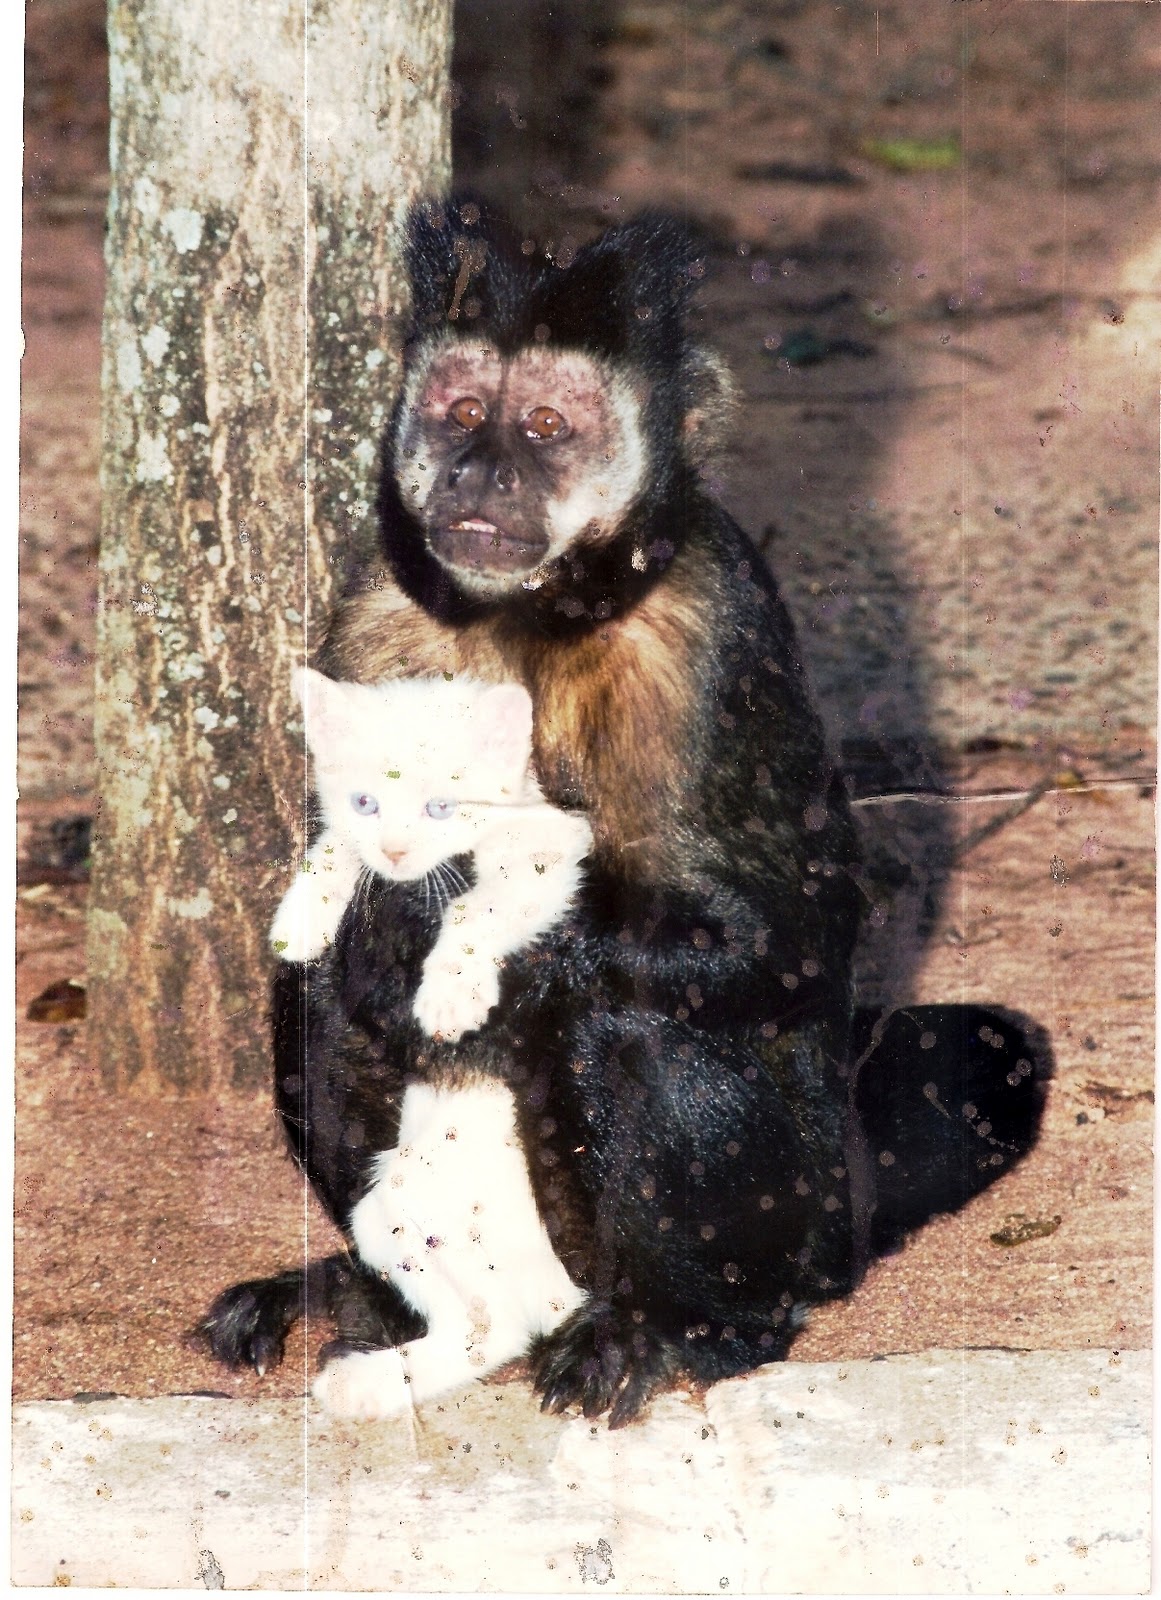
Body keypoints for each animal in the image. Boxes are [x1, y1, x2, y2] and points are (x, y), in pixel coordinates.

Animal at [197, 201, 1046, 1426]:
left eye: (546, 425)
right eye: (463, 411)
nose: (480, 473)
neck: (532, 616)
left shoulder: (711, 627)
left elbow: (787, 937)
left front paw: (452, 943)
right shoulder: (373, 610)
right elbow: (332, 896)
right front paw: (367, 914)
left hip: (803, 1220)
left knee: (630, 1018)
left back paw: (681, 1324)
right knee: (314, 999)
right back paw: (372, 1299)